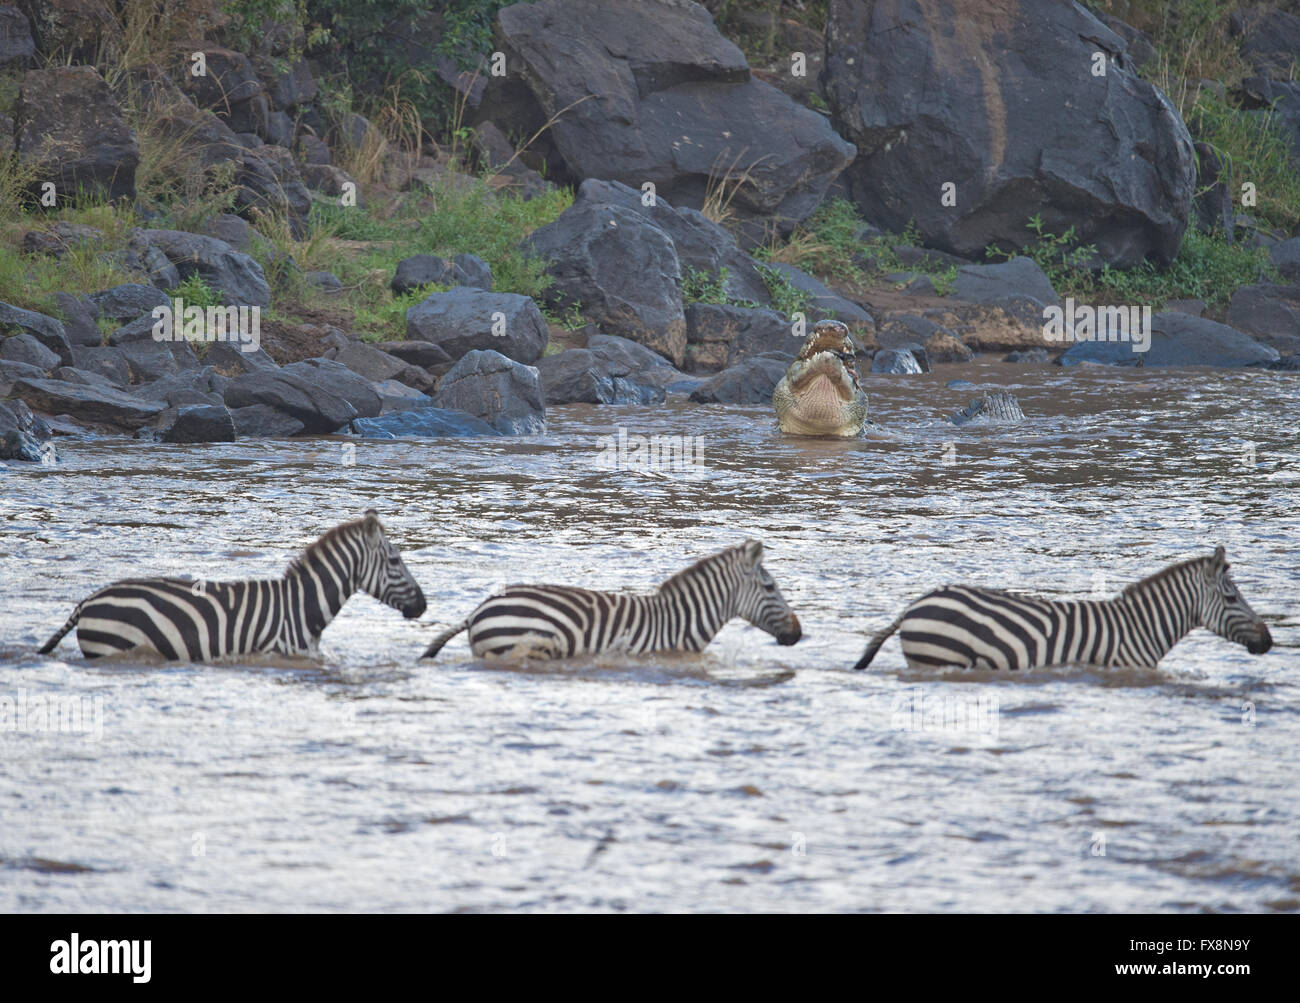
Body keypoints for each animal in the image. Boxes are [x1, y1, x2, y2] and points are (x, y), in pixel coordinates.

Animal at [39, 510, 426, 661]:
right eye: (395, 561)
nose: (424, 605)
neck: (300, 606)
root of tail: (87, 602)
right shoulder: (275, 652)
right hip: (110, 648)